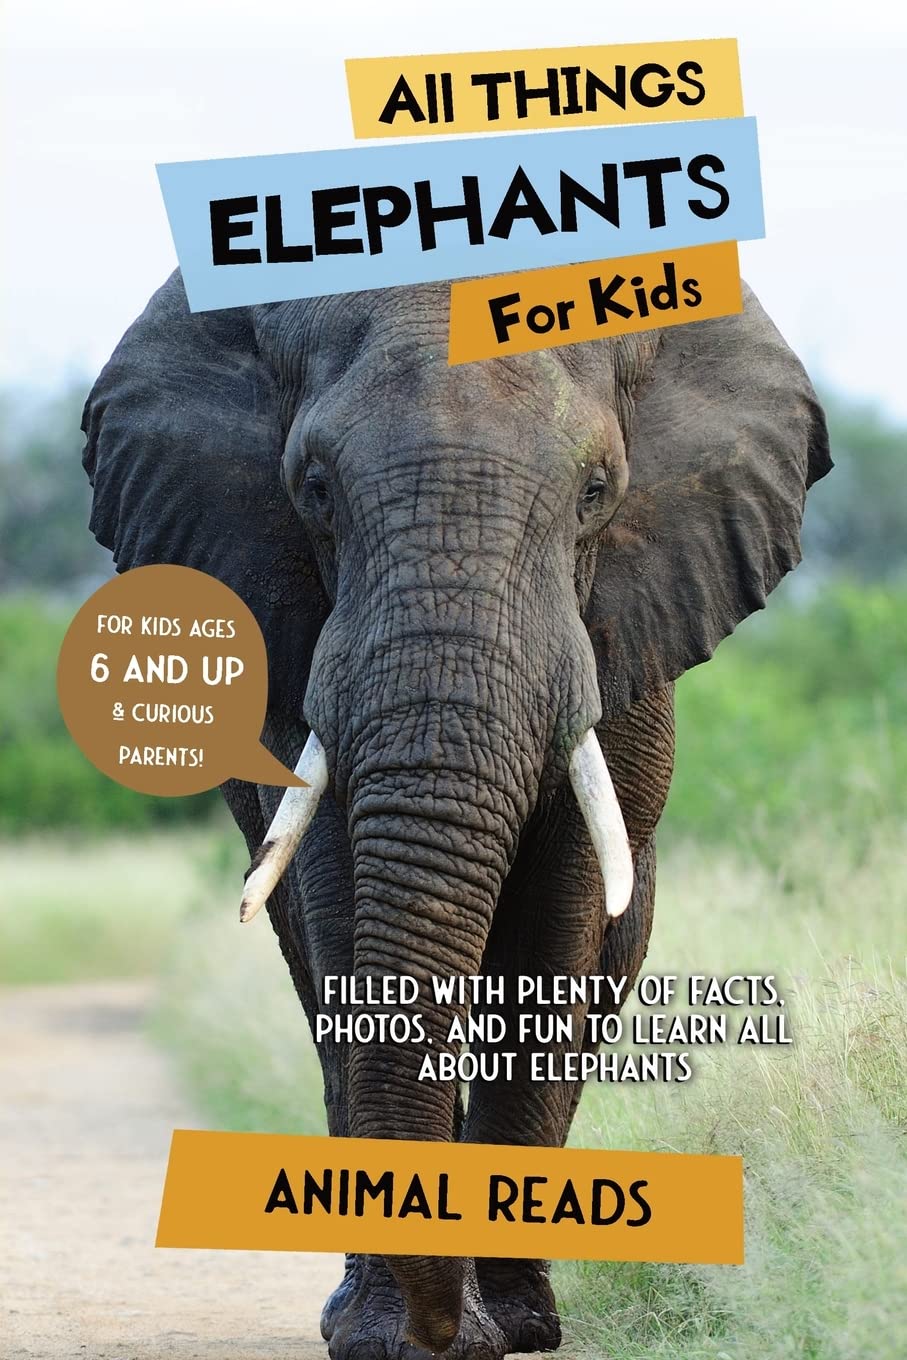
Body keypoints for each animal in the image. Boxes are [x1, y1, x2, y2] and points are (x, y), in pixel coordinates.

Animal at [81, 271, 830, 1359]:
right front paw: (389, 1337)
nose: (442, 1334)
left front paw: (506, 1328)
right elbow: (338, 898)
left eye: (597, 491)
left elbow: (556, 923)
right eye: (312, 486)